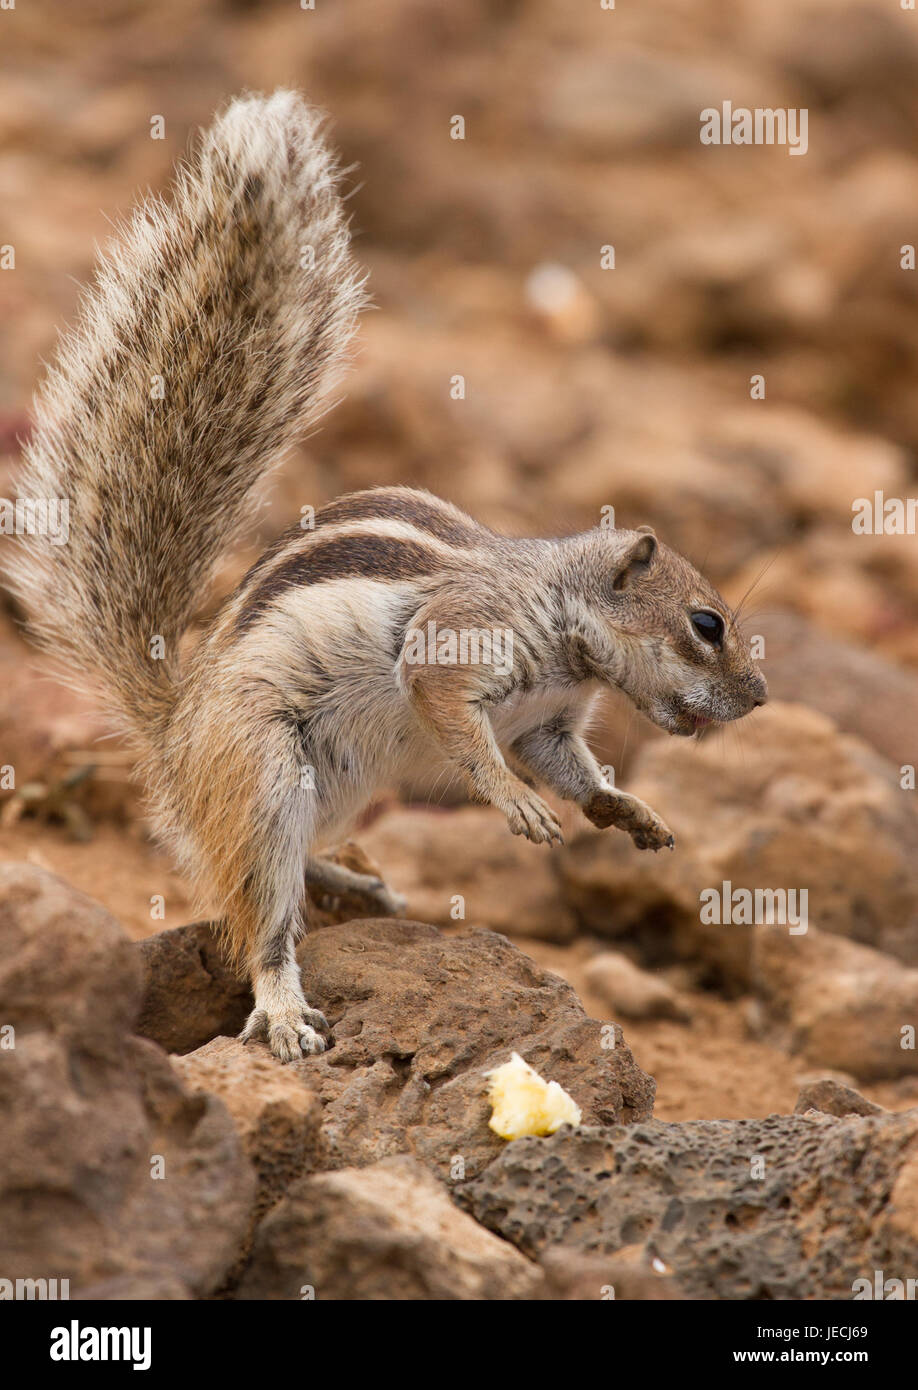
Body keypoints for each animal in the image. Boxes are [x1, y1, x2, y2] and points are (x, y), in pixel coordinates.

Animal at [4, 91, 767, 1063]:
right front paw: (516, 805)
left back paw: (353, 883)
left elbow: (572, 768)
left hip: (338, 787)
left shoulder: (549, 724)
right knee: (256, 915)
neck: (562, 618)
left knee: (243, 867)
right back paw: (286, 1010)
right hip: (266, 772)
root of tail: (172, 732)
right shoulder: (457, 642)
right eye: (707, 625)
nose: (760, 697)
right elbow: (464, 728)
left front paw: (627, 809)